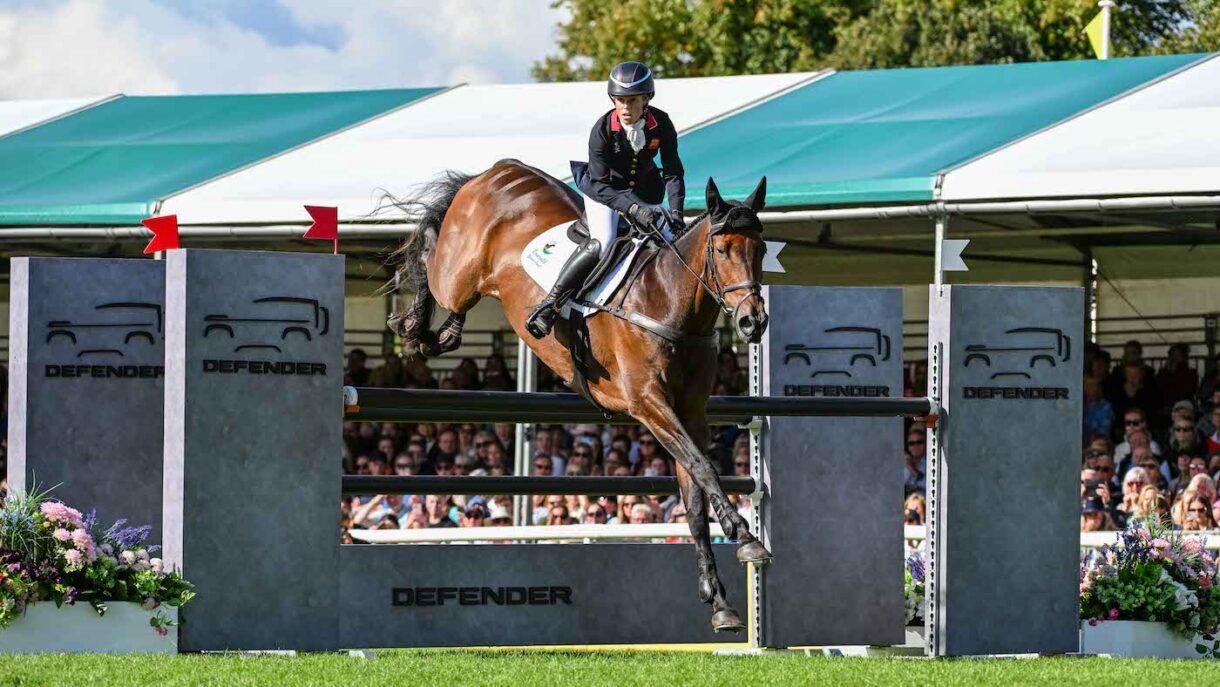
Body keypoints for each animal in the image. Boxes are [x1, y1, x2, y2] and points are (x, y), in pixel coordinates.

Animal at [385, 159, 771, 632]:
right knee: (428, 256)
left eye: (761, 249)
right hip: (457, 275)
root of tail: (497, 169)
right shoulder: (649, 404)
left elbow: (696, 499)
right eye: (722, 250)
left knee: (448, 308)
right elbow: (704, 467)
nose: (753, 322)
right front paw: (745, 534)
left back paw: (440, 334)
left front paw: (720, 603)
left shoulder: (691, 413)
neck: (669, 302)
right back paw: (411, 324)